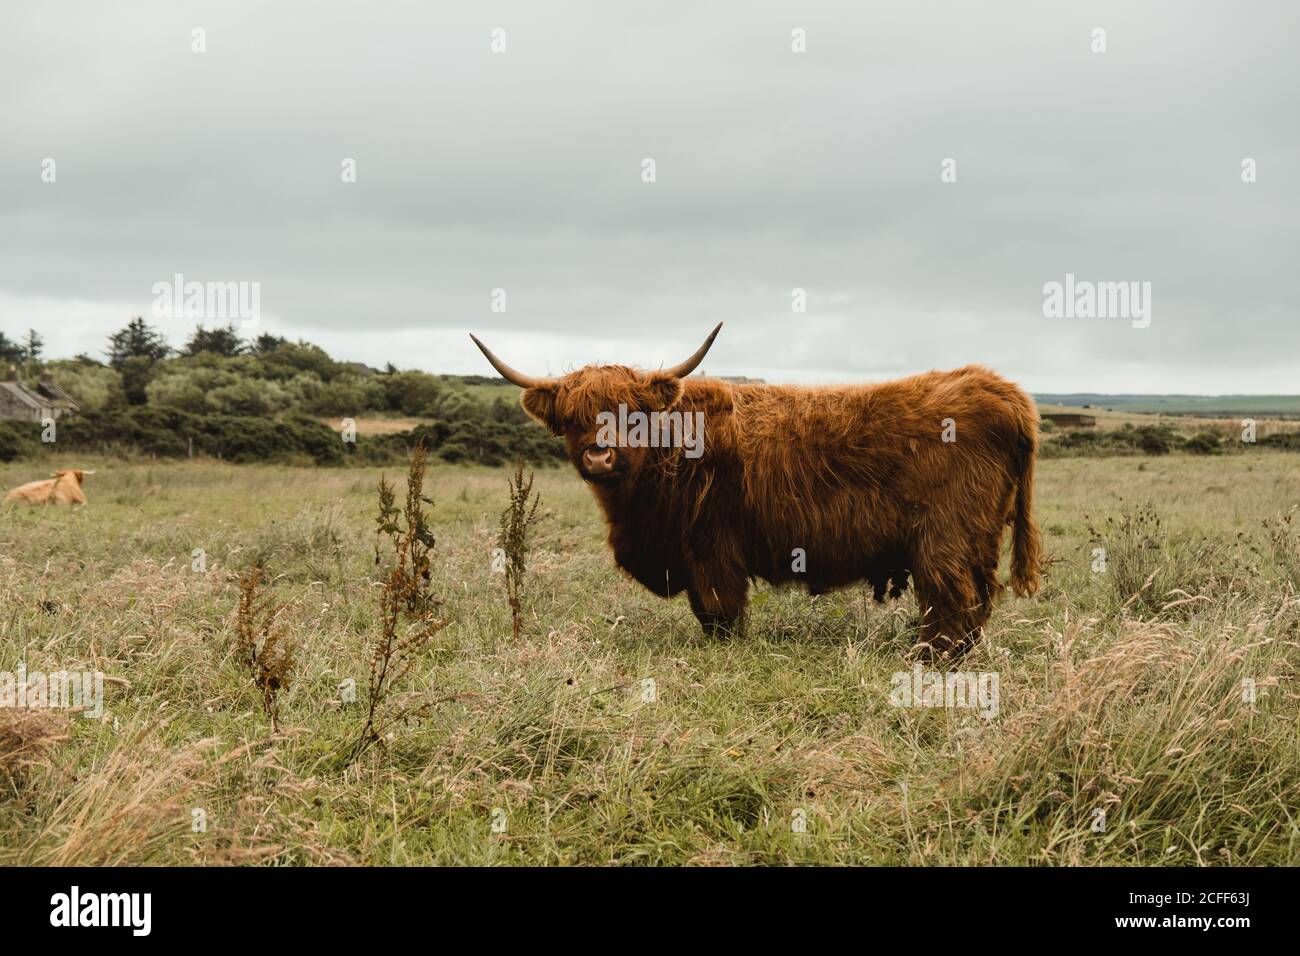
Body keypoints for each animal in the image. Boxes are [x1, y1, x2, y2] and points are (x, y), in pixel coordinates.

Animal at [471, 325, 1041, 658]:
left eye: (632, 415)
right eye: (572, 417)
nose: (598, 456)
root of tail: (1002, 390)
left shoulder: (712, 548)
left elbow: (720, 610)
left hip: (945, 538)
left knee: (951, 600)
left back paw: (930, 659)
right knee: (975, 602)